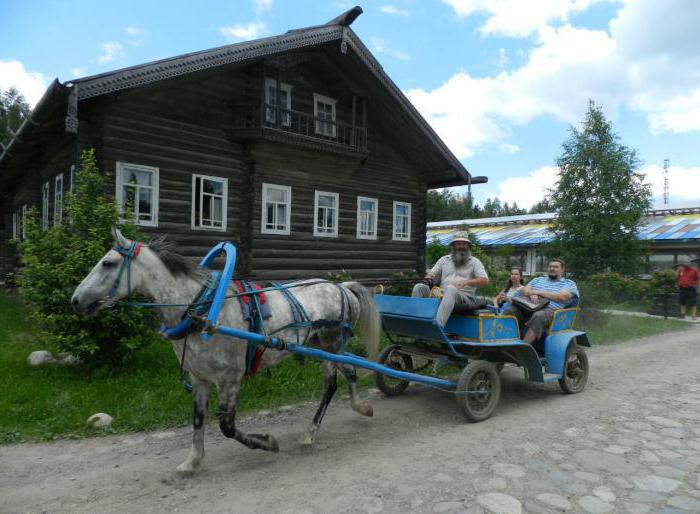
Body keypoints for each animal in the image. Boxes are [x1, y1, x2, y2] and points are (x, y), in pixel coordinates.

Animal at [72, 228, 380, 472]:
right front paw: (193, 460)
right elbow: (198, 419)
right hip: (321, 346)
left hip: (331, 344)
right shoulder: (199, 378)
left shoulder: (230, 378)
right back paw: (350, 412)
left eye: (108, 263)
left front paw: (267, 442)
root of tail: (341, 286)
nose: (75, 300)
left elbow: (227, 426)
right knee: (345, 374)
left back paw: (321, 427)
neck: (202, 308)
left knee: (334, 382)